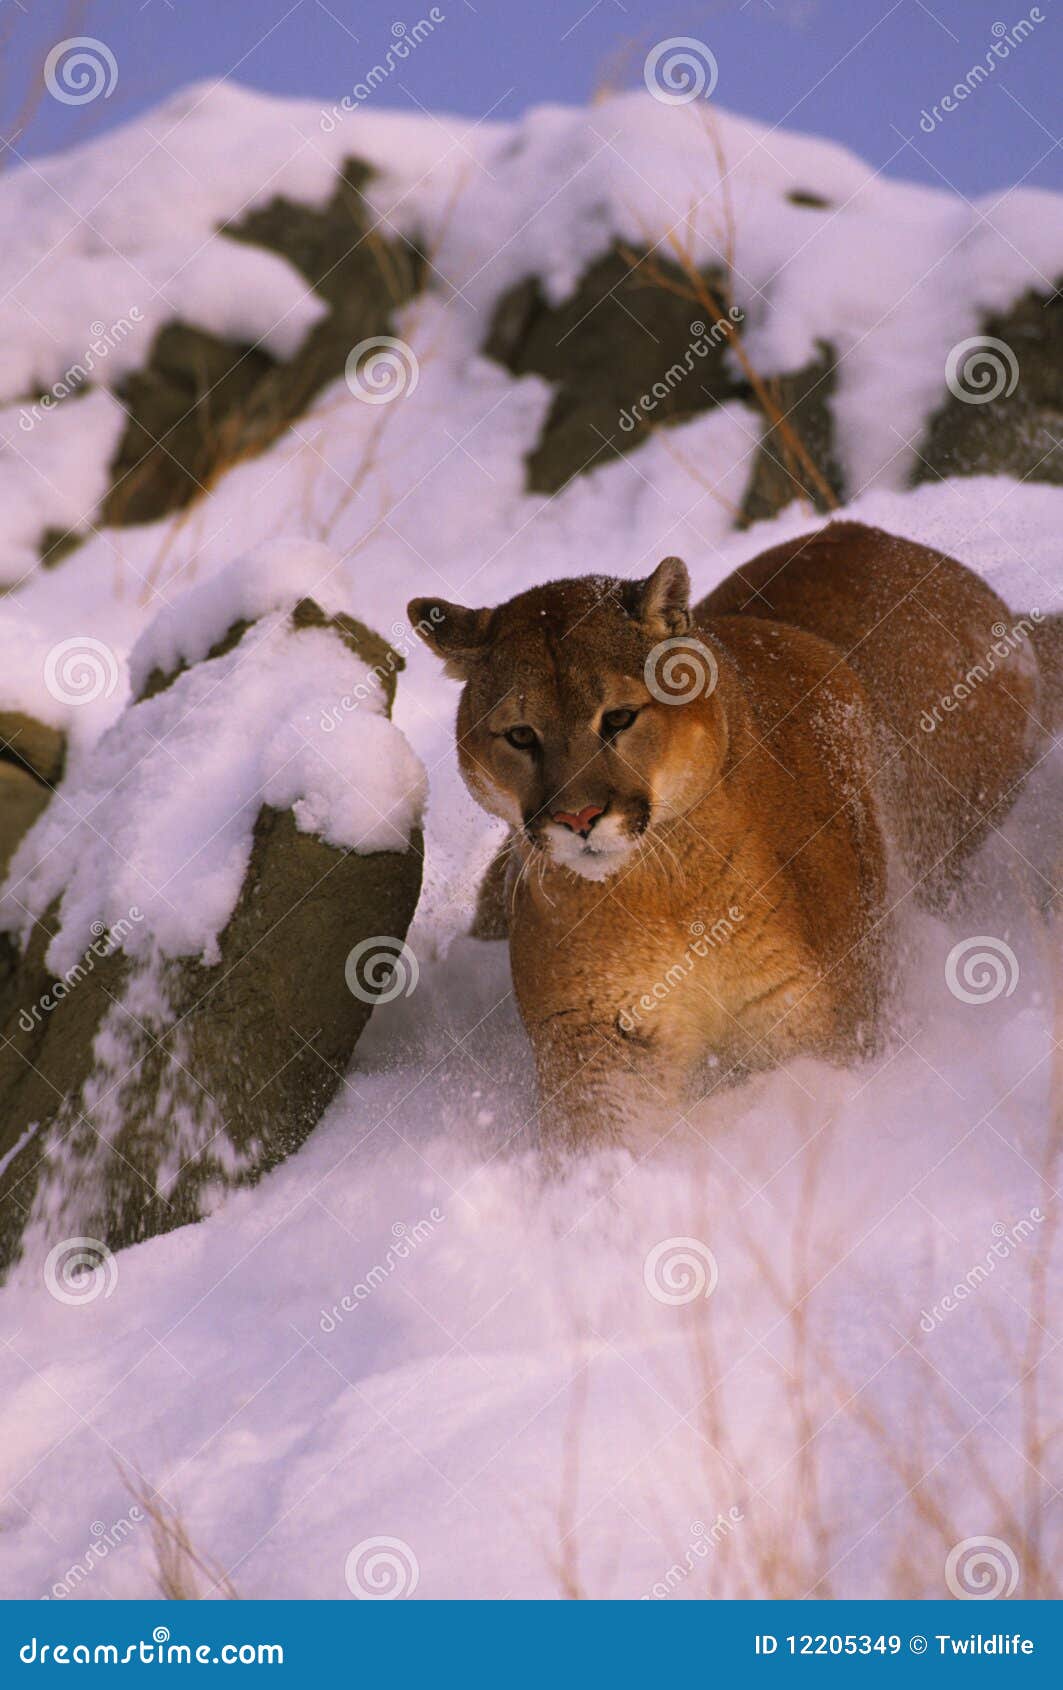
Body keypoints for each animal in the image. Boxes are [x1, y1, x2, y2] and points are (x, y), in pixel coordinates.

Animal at [410, 520, 1060, 1151]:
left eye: (618, 718)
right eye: (521, 735)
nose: (578, 817)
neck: (662, 892)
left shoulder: (819, 1026)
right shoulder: (595, 1039)